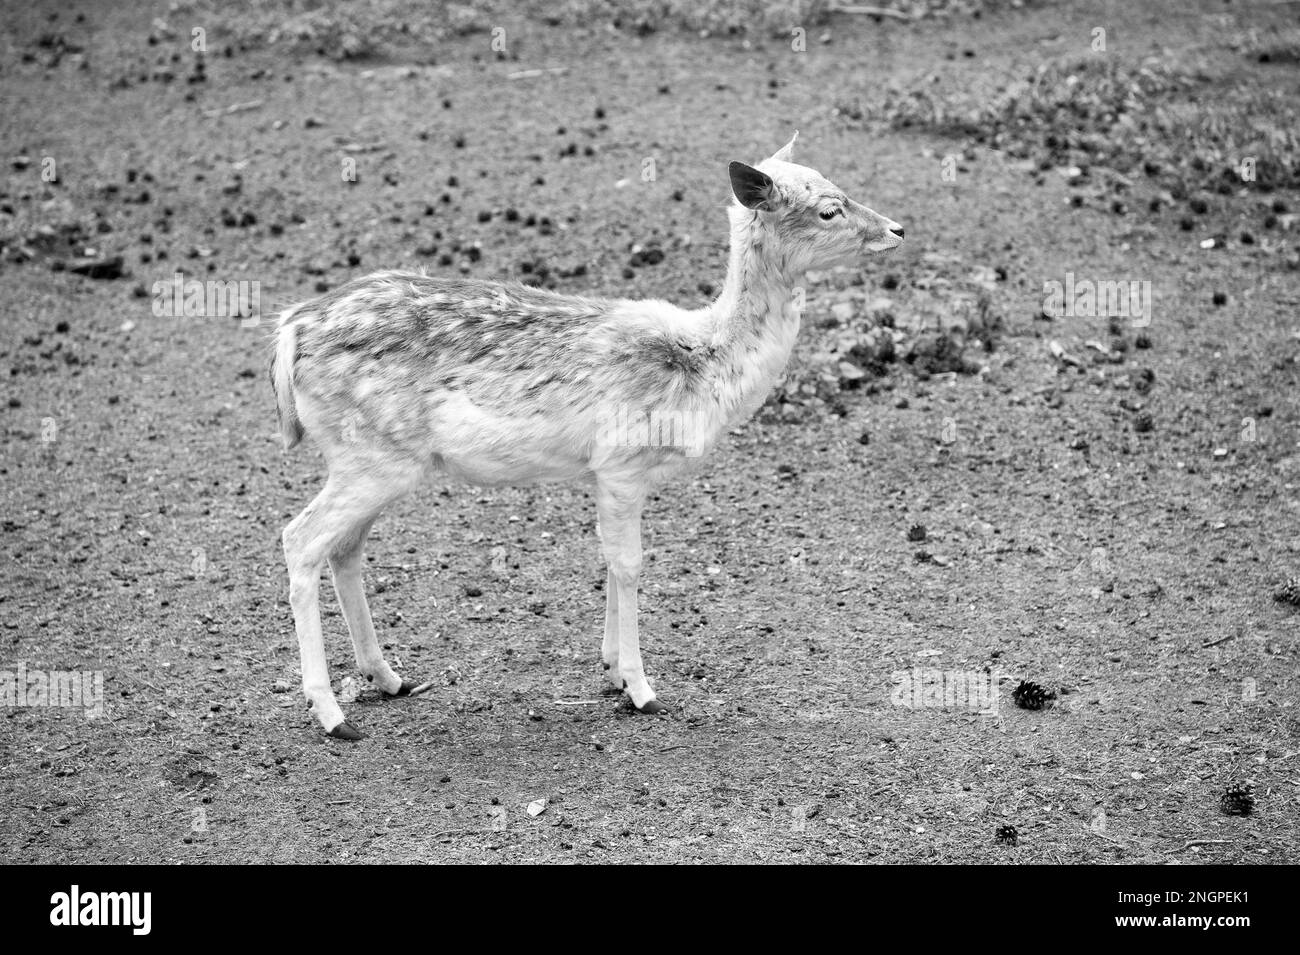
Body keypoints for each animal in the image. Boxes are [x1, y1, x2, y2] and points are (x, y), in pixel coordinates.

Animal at [270, 133, 903, 739]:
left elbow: (609, 560)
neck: (704, 366)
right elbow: (630, 563)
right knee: (300, 538)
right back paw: (332, 715)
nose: (897, 228)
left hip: (377, 462)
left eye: (836, 184)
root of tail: (288, 332)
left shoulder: (608, 472)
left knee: (344, 547)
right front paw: (642, 689)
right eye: (828, 209)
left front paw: (611, 670)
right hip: (372, 456)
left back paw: (389, 678)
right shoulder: (621, 461)